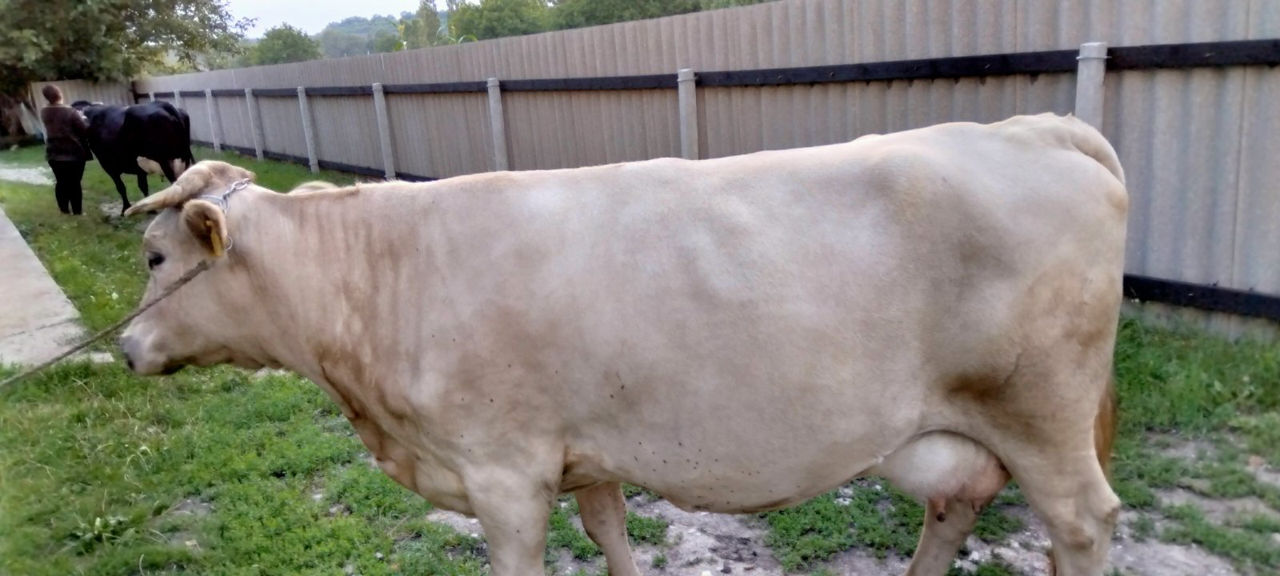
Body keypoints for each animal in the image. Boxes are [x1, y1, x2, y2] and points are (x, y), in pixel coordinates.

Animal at [119, 113, 1127, 576]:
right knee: (954, 507)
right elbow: (608, 530)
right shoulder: (581, 449)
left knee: (1082, 523)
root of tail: (1033, 127)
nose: (124, 349)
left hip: (1042, 419)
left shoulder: (503, 473)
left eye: (155, 255)